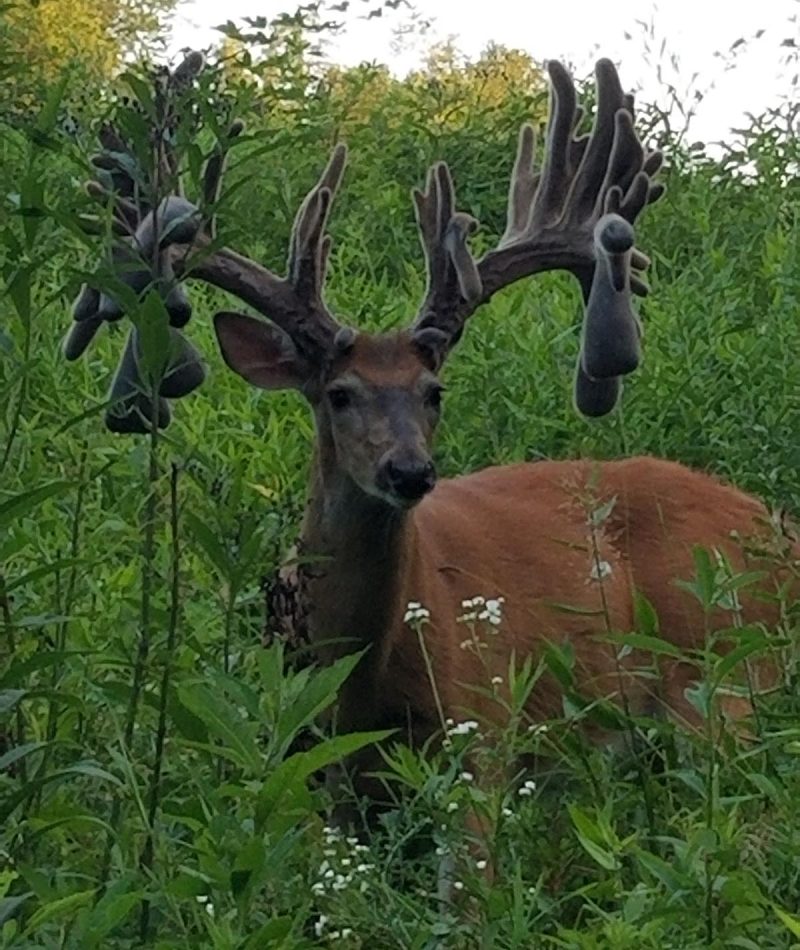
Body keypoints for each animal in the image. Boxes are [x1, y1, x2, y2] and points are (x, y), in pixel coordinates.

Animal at [71, 56, 794, 840]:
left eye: (434, 391)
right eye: (338, 393)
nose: (410, 470)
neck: (365, 684)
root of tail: (777, 528)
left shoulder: (481, 746)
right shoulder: (318, 776)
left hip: (727, 679)